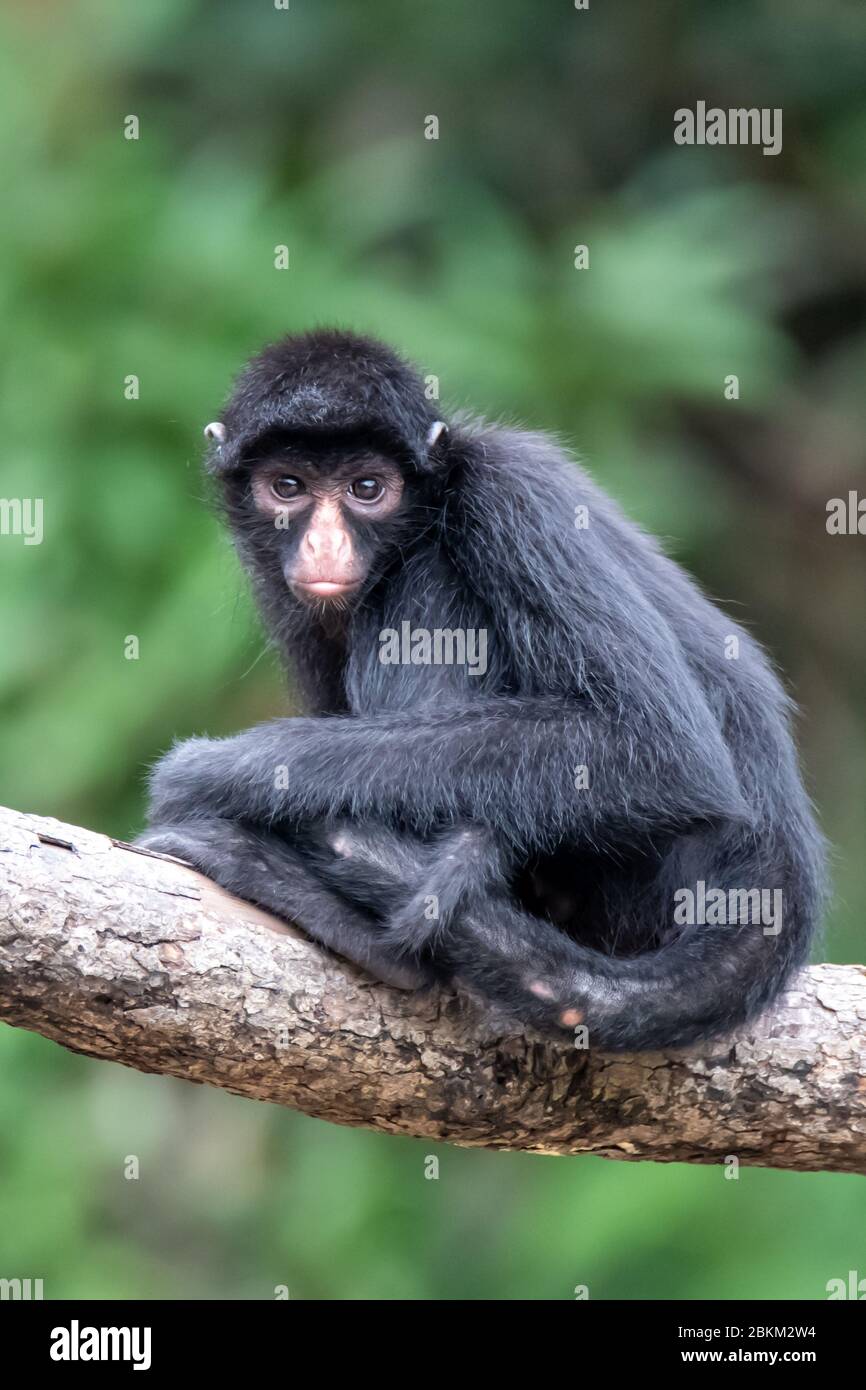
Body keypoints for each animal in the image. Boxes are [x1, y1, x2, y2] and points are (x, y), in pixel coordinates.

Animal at [137, 328, 826, 1050]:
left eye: (366, 488)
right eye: (288, 487)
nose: (325, 544)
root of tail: (780, 865)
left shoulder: (513, 489)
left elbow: (664, 751)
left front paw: (214, 773)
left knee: (424, 573)